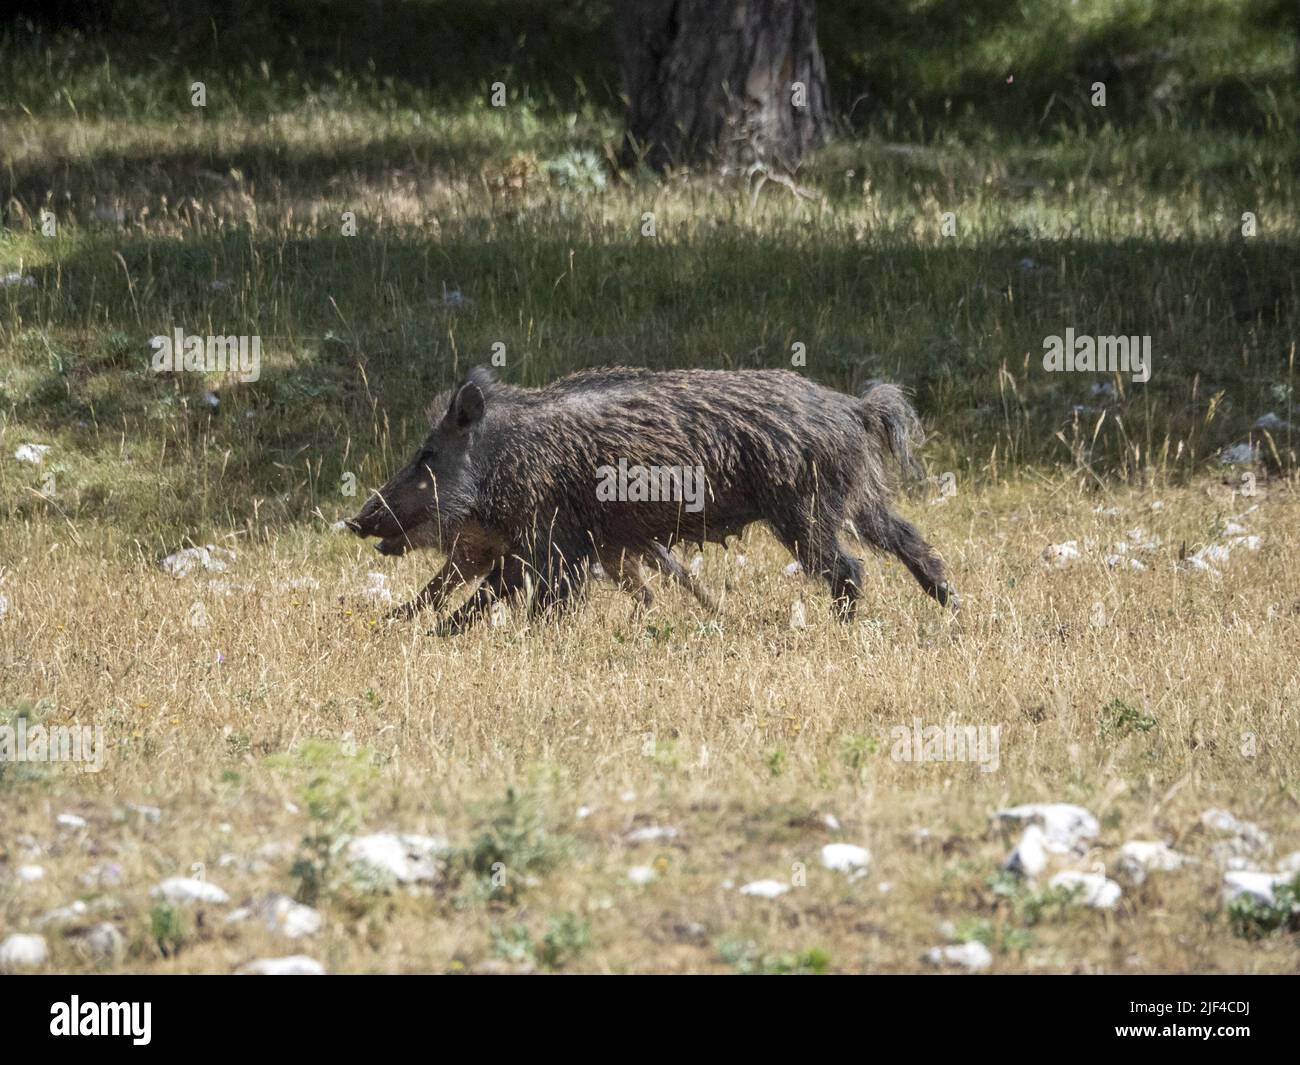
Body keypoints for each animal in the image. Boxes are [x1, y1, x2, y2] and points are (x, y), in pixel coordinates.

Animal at [347, 366, 956, 632]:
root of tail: (854, 409)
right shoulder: (543, 543)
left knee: (849, 566)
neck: (510, 453)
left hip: (804, 511)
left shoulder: (553, 538)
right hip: (862, 497)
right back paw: (953, 605)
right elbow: (485, 593)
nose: (356, 521)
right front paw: (426, 632)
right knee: (907, 539)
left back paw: (843, 627)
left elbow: (535, 597)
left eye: (427, 454)